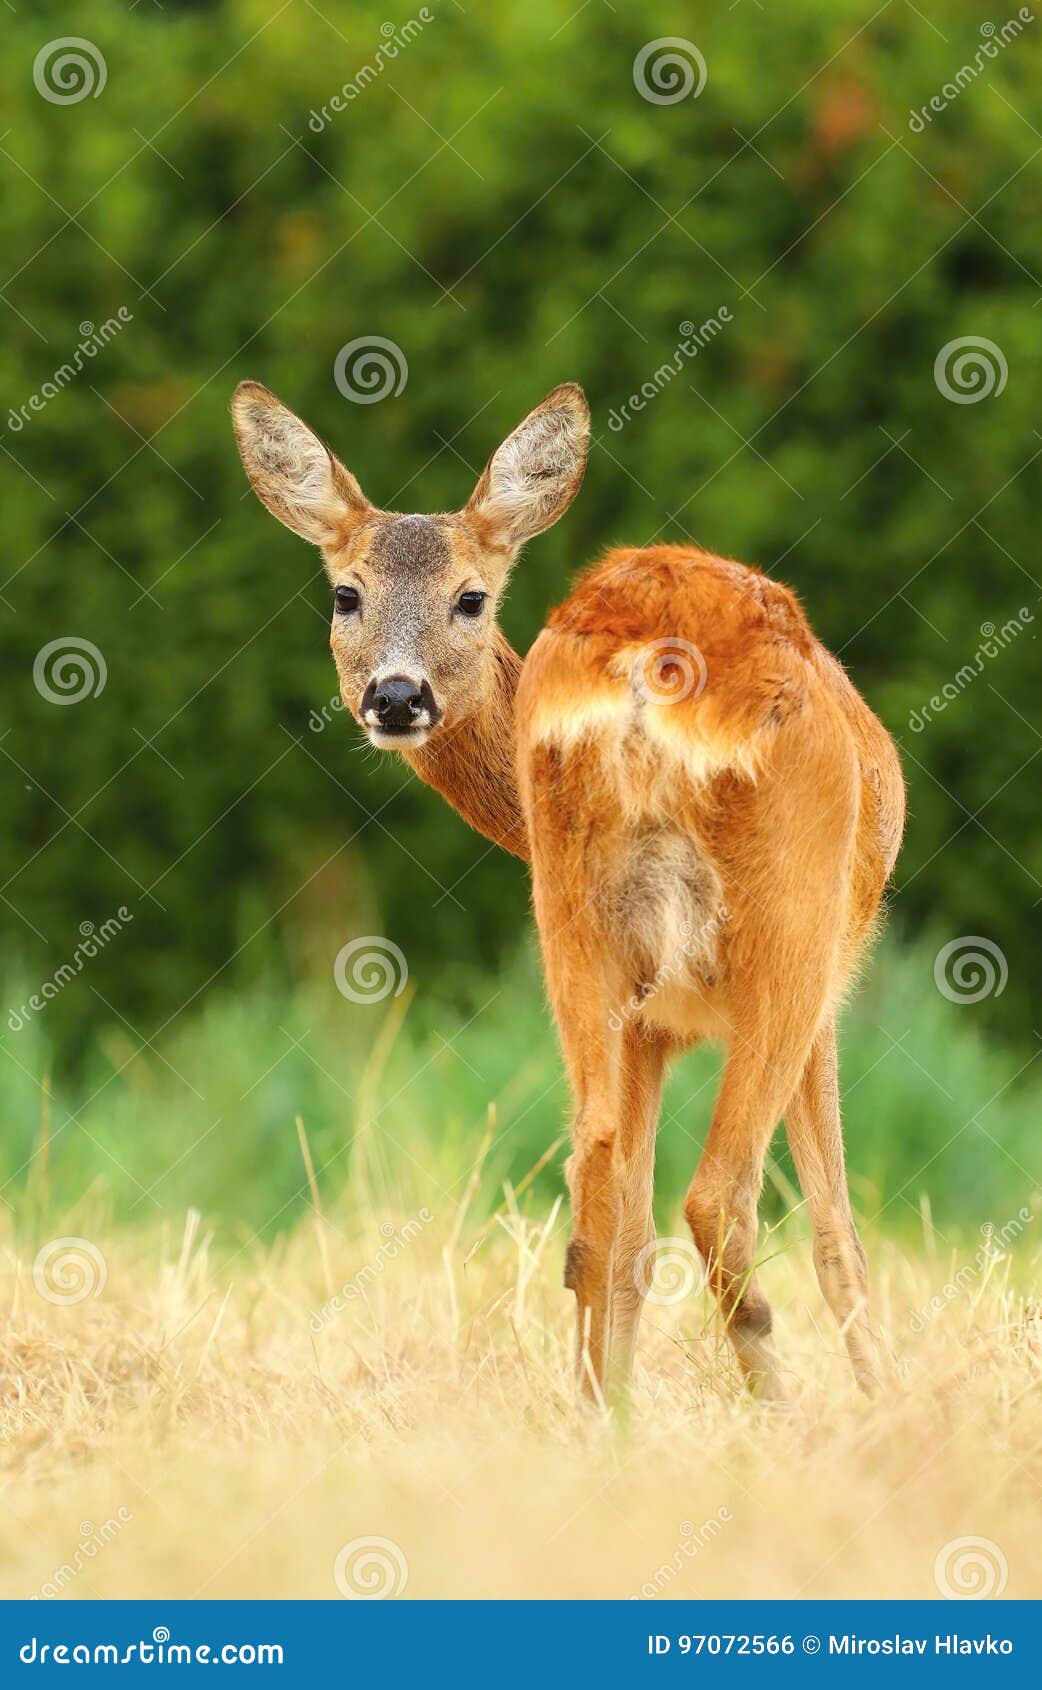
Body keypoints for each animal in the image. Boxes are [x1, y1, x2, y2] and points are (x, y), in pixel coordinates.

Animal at [231, 378, 905, 1404]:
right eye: (347, 594)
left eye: (470, 597)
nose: (397, 697)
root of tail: (645, 667)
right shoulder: (824, 987)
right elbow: (837, 1234)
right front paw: (888, 1406)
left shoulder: (649, 1021)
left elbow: (629, 1234)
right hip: (786, 925)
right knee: (720, 1196)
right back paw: (784, 1410)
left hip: (577, 931)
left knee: (593, 1177)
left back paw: (602, 1418)